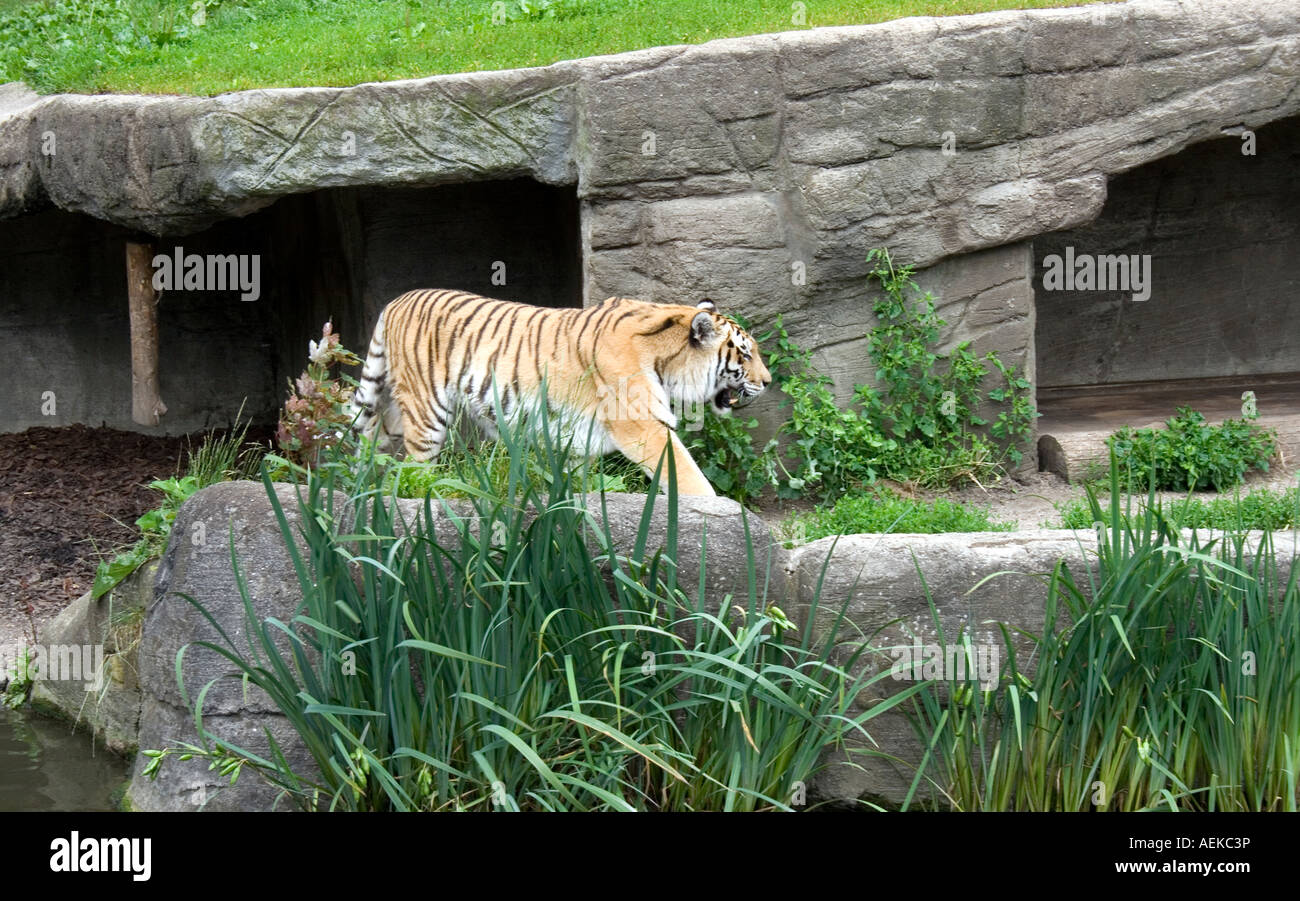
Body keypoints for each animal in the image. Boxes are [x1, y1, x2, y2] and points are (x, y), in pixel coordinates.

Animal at [348, 289, 772, 496]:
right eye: (746, 353)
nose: (767, 382)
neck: (667, 361)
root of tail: (395, 302)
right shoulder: (644, 427)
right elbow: (687, 474)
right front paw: (720, 511)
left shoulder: (576, 440)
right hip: (427, 413)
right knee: (414, 468)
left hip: (396, 412)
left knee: (371, 440)